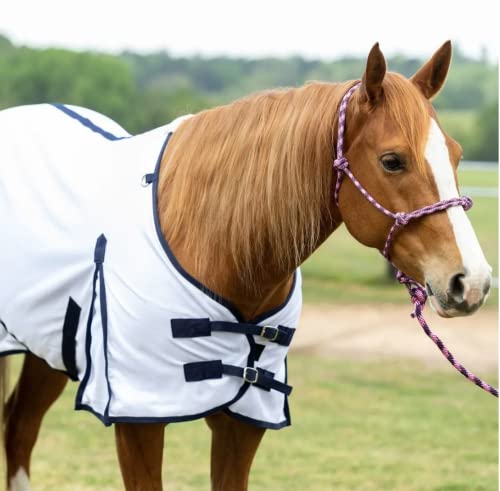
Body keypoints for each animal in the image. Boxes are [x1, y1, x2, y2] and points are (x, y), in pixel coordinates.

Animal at [1, 42, 490, 491]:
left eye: (456, 154)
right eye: (392, 160)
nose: (473, 282)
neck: (214, 243)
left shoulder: (244, 421)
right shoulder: (140, 416)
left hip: (49, 349)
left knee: (19, 426)